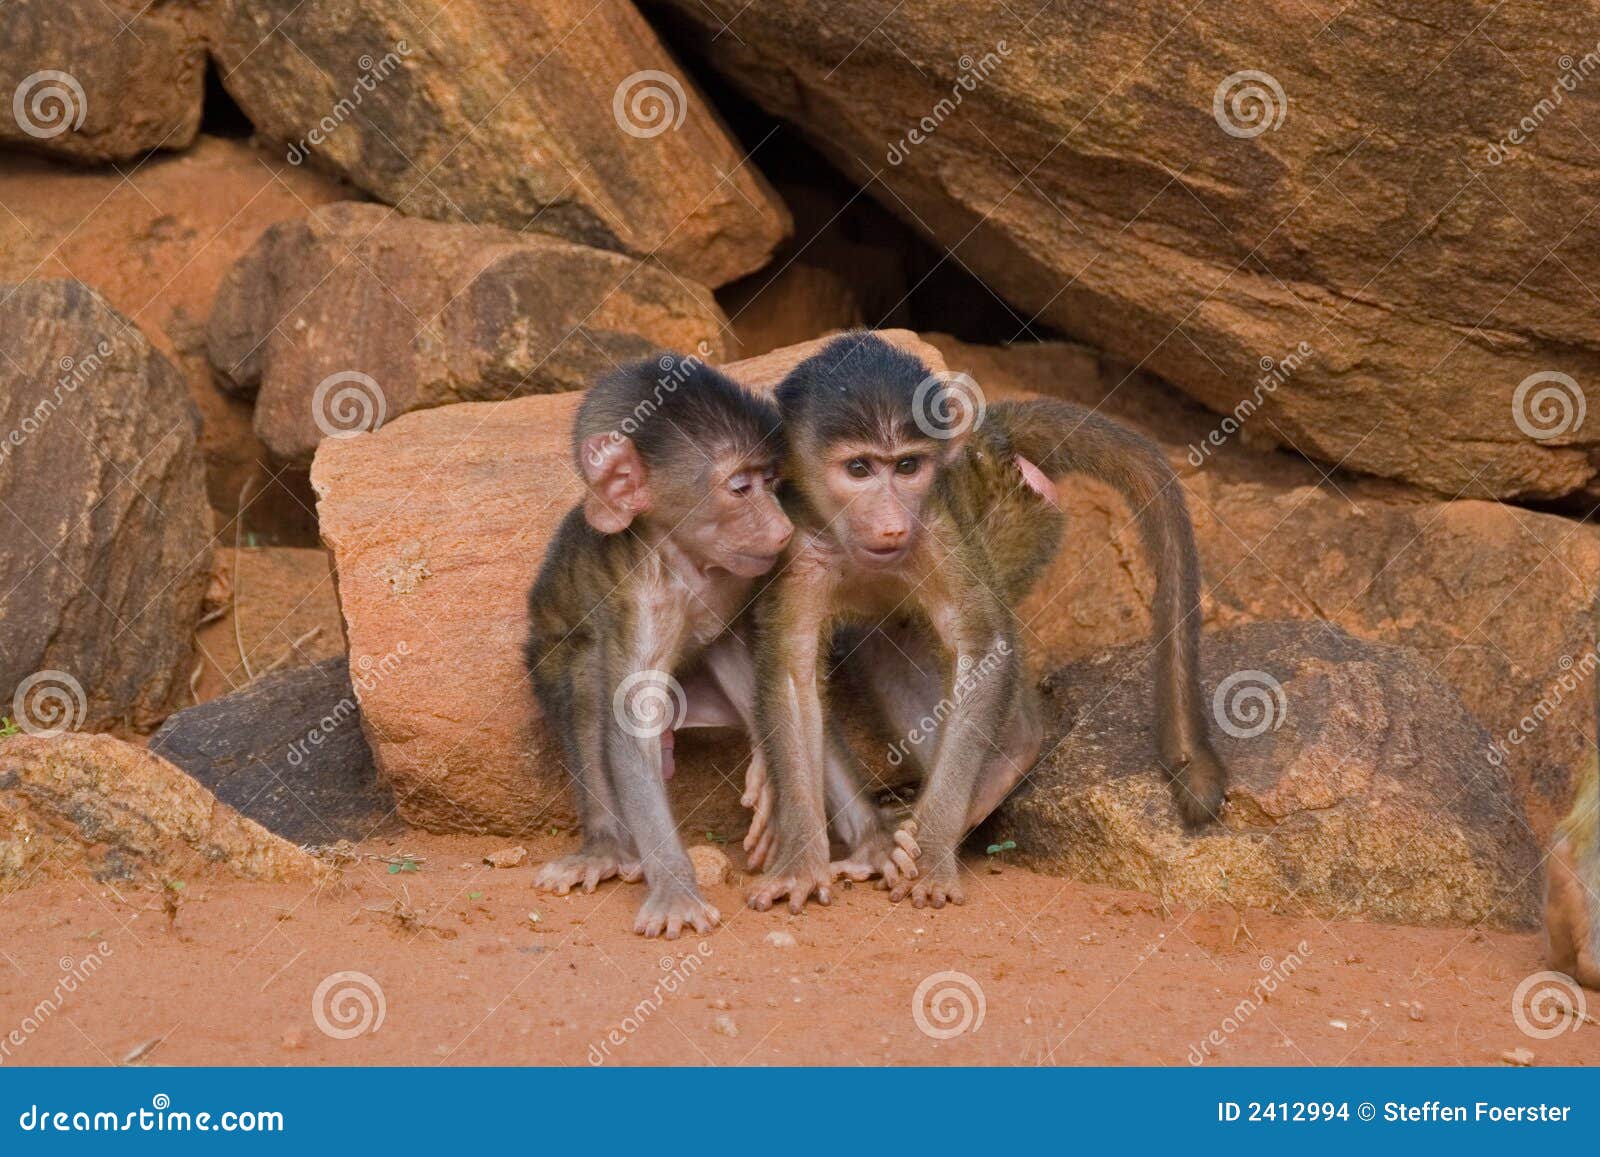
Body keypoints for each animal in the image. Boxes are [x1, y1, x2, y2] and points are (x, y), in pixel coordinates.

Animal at [524, 352, 792, 938]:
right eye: (741, 487)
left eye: (771, 481)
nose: (783, 529)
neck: (679, 555)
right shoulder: (640, 596)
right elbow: (630, 727)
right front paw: (675, 890)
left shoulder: (732, 574)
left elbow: (729, 644)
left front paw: (767, 774)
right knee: (584, 681)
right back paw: (605, 848)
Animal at [745, 331, 1226, 913]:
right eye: (858, 469)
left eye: (907, 467)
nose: (892, 524)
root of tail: (991, 433)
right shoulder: (793, 544)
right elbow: (792, 672)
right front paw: (800, 859)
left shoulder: (938, 531)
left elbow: (984, 646)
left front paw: (932, 853)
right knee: (881, 638)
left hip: (1020, 515)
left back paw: (1003, 762)